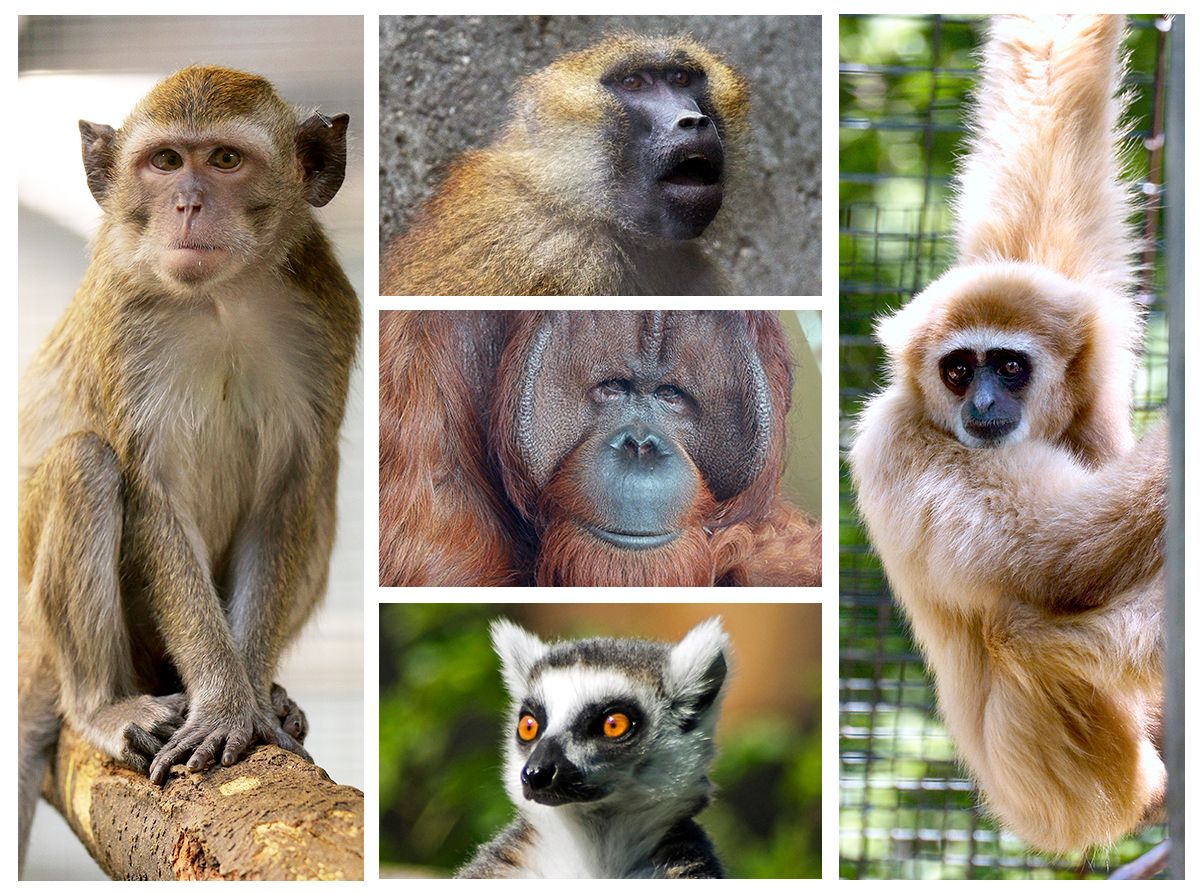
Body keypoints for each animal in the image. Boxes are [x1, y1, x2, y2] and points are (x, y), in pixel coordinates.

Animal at [17, 66, 360, 872]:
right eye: (167, 162)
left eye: (226, 161)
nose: (188, 203)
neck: (220, 299)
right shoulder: (124, 317)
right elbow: (152, 494)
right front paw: (225, 702)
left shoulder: (324, 312)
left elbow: (291, 492)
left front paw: (252, 698)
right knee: (86, 462)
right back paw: (102, 706)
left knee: (325, 479)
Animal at [847, 16, 1168, 853]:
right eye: (959, 370)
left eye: (1011, 367)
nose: (984, 402)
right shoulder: (897, 443)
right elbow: (1063, 551)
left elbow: (1047, 83)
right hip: (1068, 784)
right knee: (1020, 631)